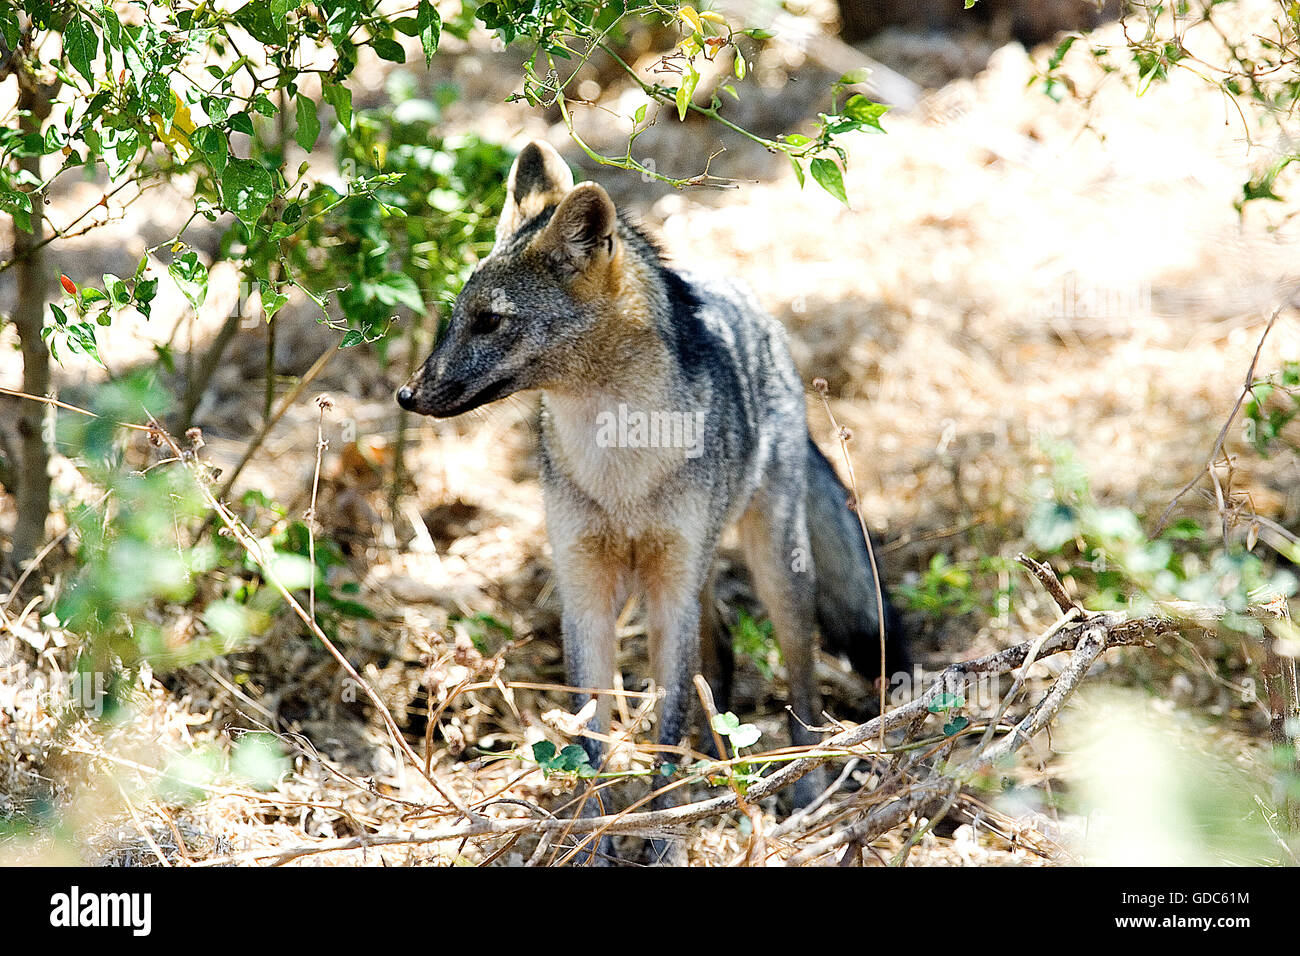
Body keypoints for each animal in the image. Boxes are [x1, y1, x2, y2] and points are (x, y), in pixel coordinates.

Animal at [396, 139, 909, 835]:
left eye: (489, 322)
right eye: (454, 320)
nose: (406, 394)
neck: (621, 468)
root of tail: (745, 302)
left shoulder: (669, 589)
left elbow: (663, 732)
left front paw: (661, 831)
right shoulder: (586, 593)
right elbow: (591, 740)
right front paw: (596, 831)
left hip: (773, 573)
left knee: (800, 685)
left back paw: (800, 782)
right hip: (687, 577)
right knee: (719, 647)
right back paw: (718, 757)